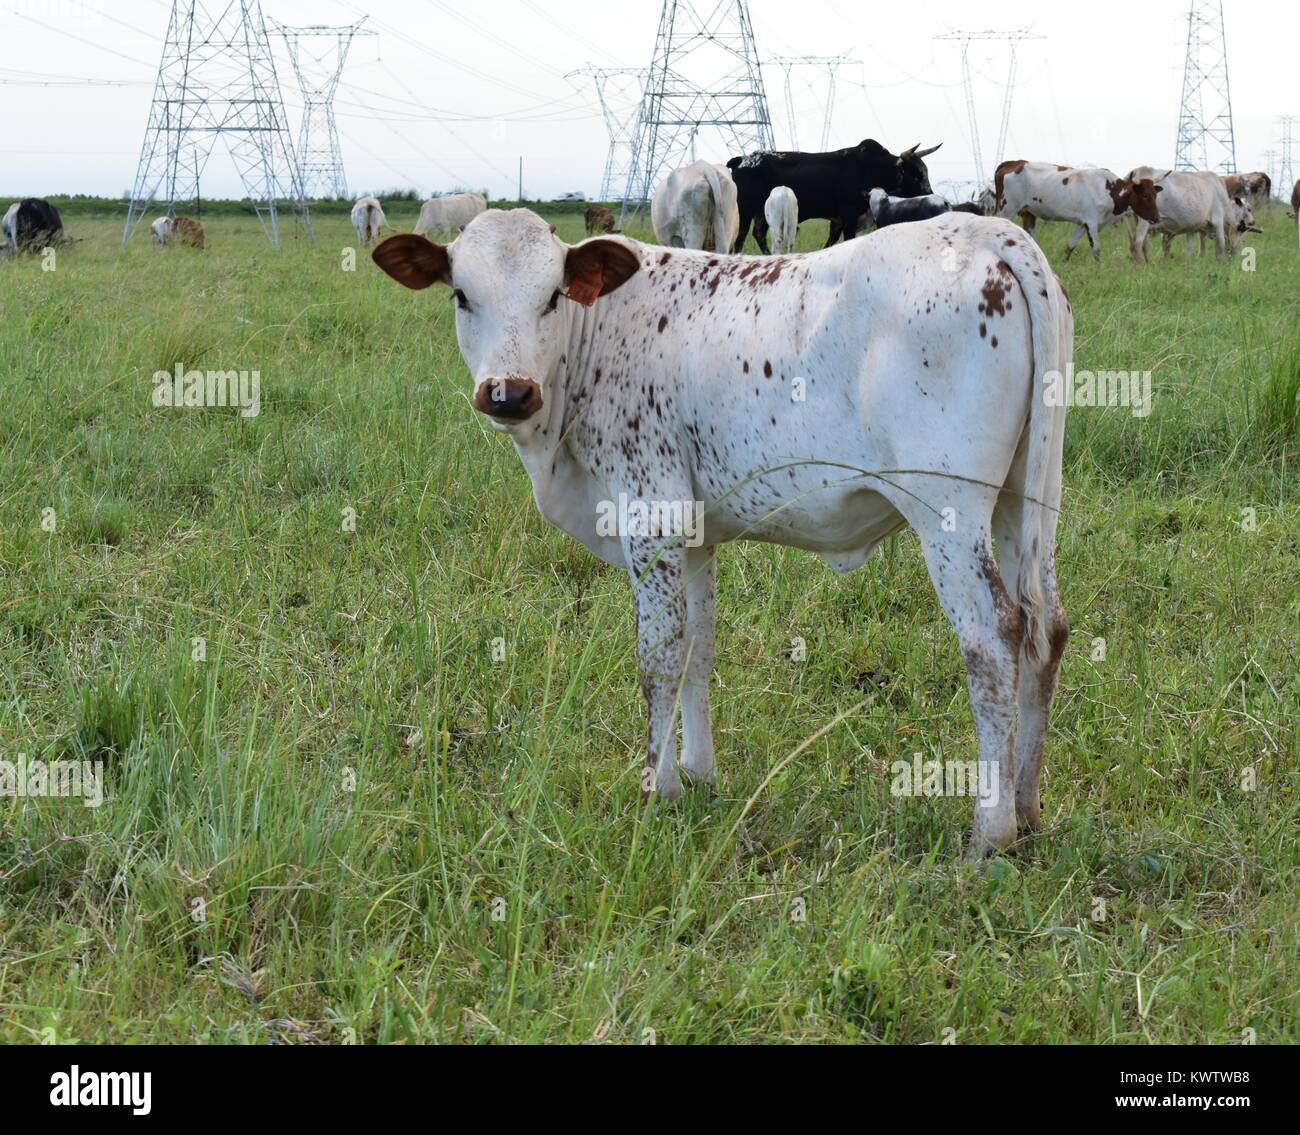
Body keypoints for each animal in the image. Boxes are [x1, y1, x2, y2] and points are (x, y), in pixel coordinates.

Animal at [370, 208, 1073, 859]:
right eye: (462, 295)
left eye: (553, 296)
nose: (509, 393)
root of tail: (986, 232)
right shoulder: (694, 534)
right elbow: (698, 650)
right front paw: (697, 773)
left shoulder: (650, 514)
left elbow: (658, 658)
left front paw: (656, 790)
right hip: (1026, 501)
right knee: (1047, 628)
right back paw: (1028, 805)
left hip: (947, 511)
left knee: (992, 640)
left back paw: (991, 831)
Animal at [726, 140, 942, 252]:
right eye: (918, 174)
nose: (930, 194)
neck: (873, 169)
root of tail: (741, 160)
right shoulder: (849, 218)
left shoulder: (837, 221)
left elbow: (829, 244)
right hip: (745, 210)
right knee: (740, 239)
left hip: (762, 214)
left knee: (759, 234)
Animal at [995, 160, 1161, 262]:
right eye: (1145, 195)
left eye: (1155, 195)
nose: (1157, 218)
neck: (1108, 188)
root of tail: (1015, 162)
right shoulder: (1092, 222)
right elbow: (1096, 249)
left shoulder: (1084, 223)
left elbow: (1070, 245)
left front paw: (1064, 264)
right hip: (1006, 210)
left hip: (1028, 214)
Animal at [1126, 167, 1258, 261]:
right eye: (1249, 209)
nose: (1253, 222)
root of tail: (1137, 170)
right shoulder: (1218, 221)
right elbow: (1220, 245)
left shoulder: (1192, 228)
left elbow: (1189, 249)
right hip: (1144, 221)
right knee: (1136, 245)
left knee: (1141, 245)